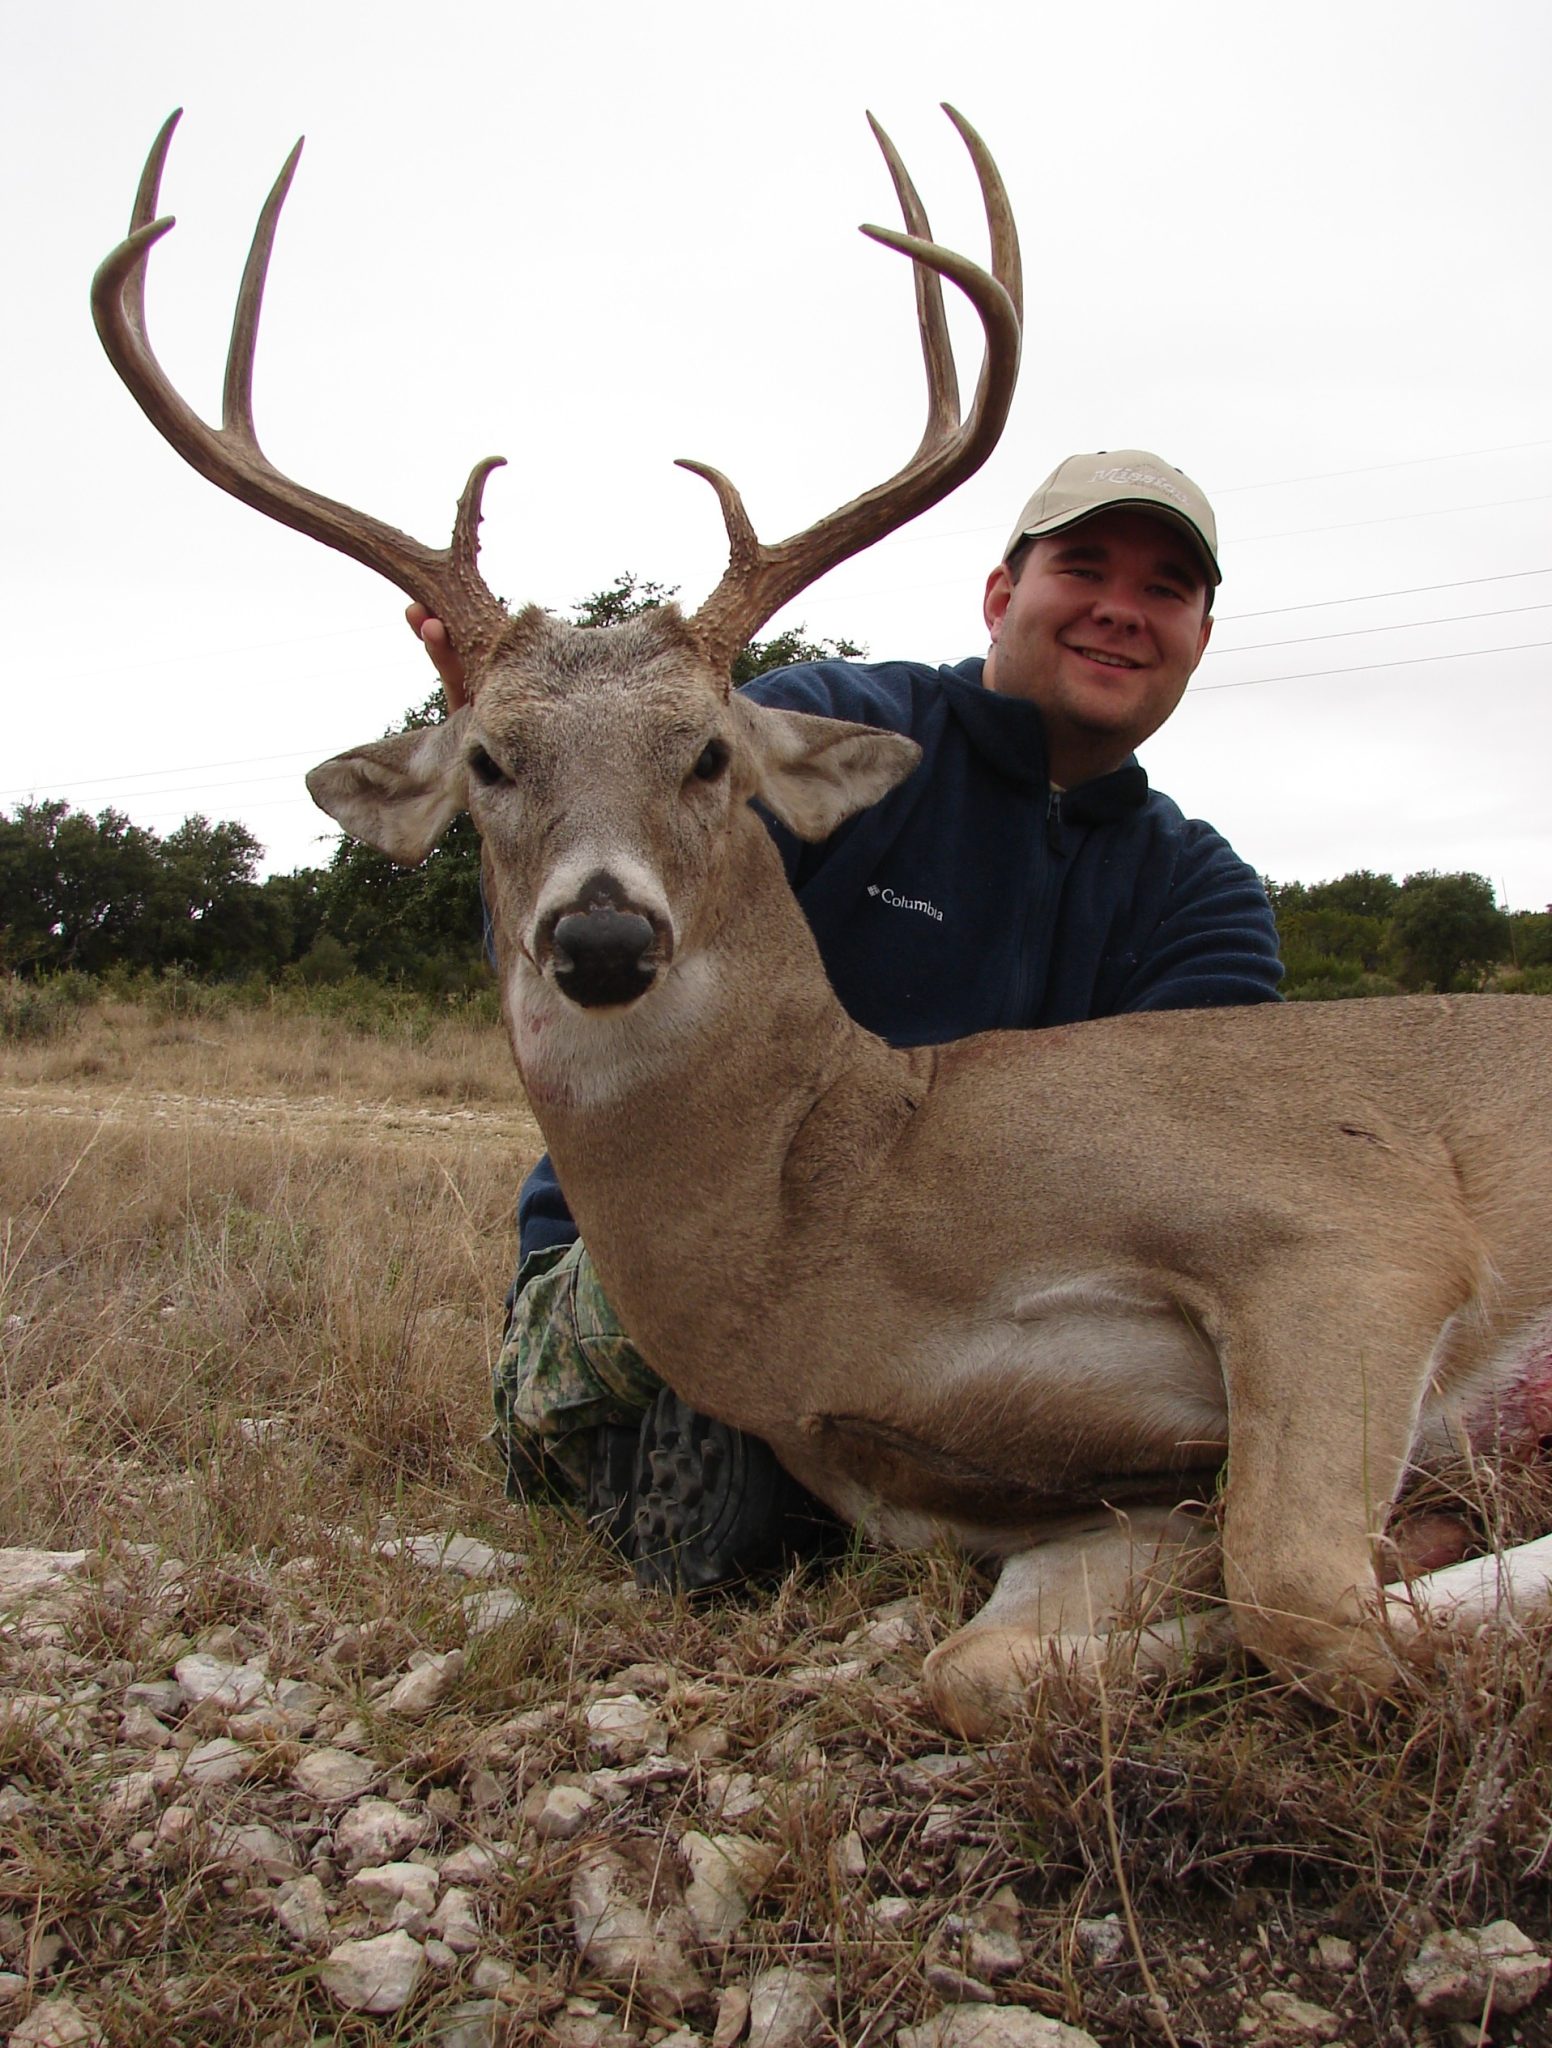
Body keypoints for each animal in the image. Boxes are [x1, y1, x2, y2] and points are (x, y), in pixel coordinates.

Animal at [94, 108, 1552, 1739]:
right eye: (487, 760)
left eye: (710, 751)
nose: (603, 940)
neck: (831, 1213)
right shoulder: (1065, 1496)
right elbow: (985, 1669)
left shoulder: (1346, 1223)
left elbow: (1302, 1597)